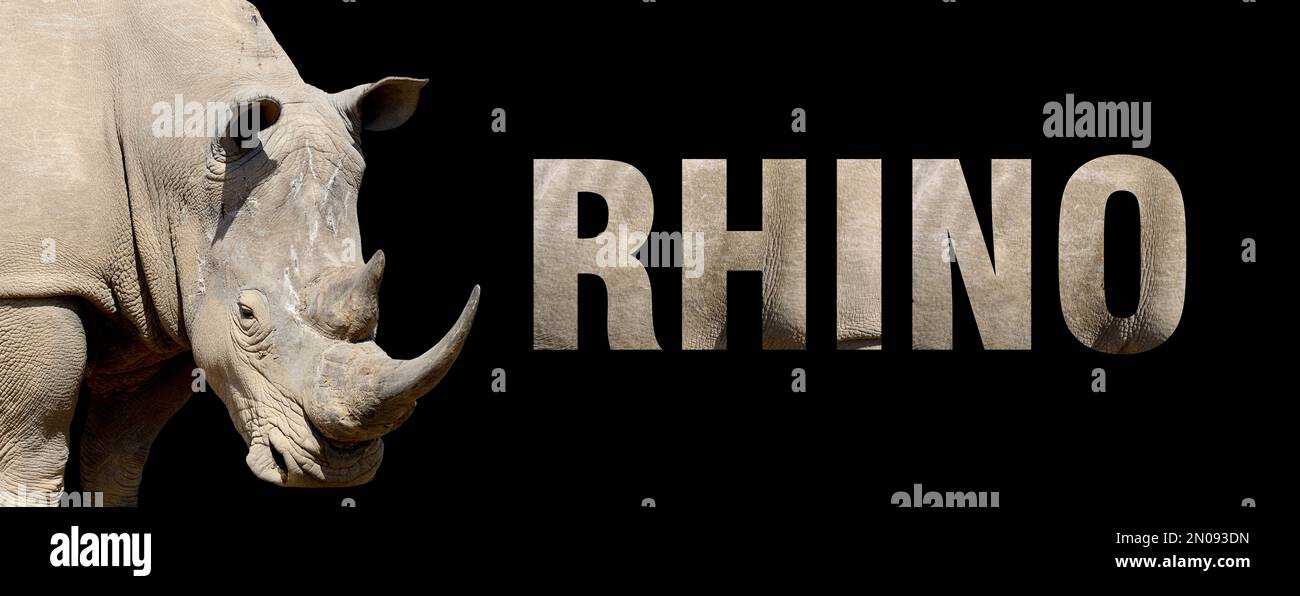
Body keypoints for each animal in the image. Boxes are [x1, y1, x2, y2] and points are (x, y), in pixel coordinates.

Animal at [0, 0, 479, 506]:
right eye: (247, 316)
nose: (339, 470)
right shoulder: (30, 283)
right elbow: (33, 456)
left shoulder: (163, 303)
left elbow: (119, 457)